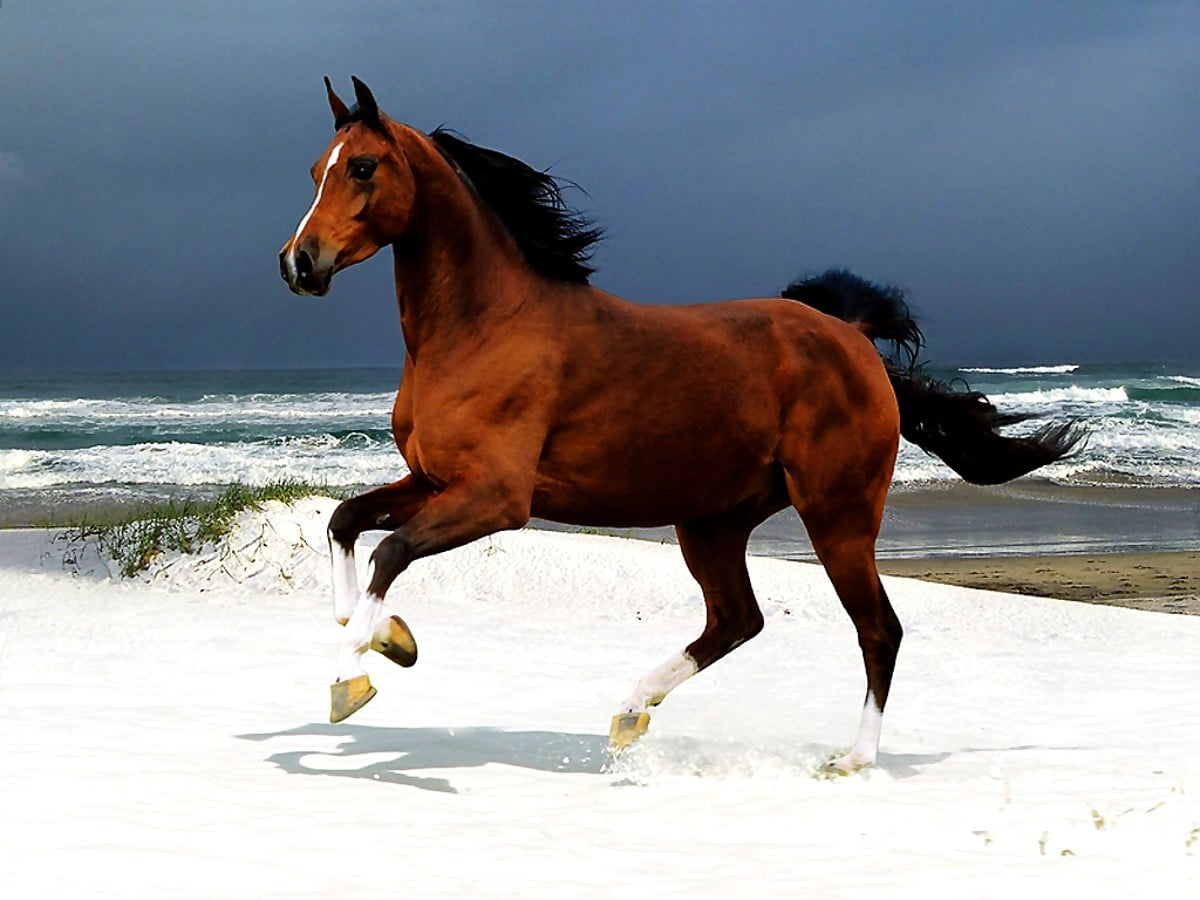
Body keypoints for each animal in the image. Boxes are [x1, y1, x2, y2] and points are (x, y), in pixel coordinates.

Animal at [279, 77, 1081, 772]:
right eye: (316, 169)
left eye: (362, 167)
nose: (298, 263)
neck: (482, 326)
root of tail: (851, 338)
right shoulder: (432, 479)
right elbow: (346, 523)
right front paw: (388, 639)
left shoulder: (497, 499)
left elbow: (390, 553)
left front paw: (352, 680)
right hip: (714, 521)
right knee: (738, 620)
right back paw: (630, 711)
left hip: (838, 515)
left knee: (877, 630)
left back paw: (852, 760)